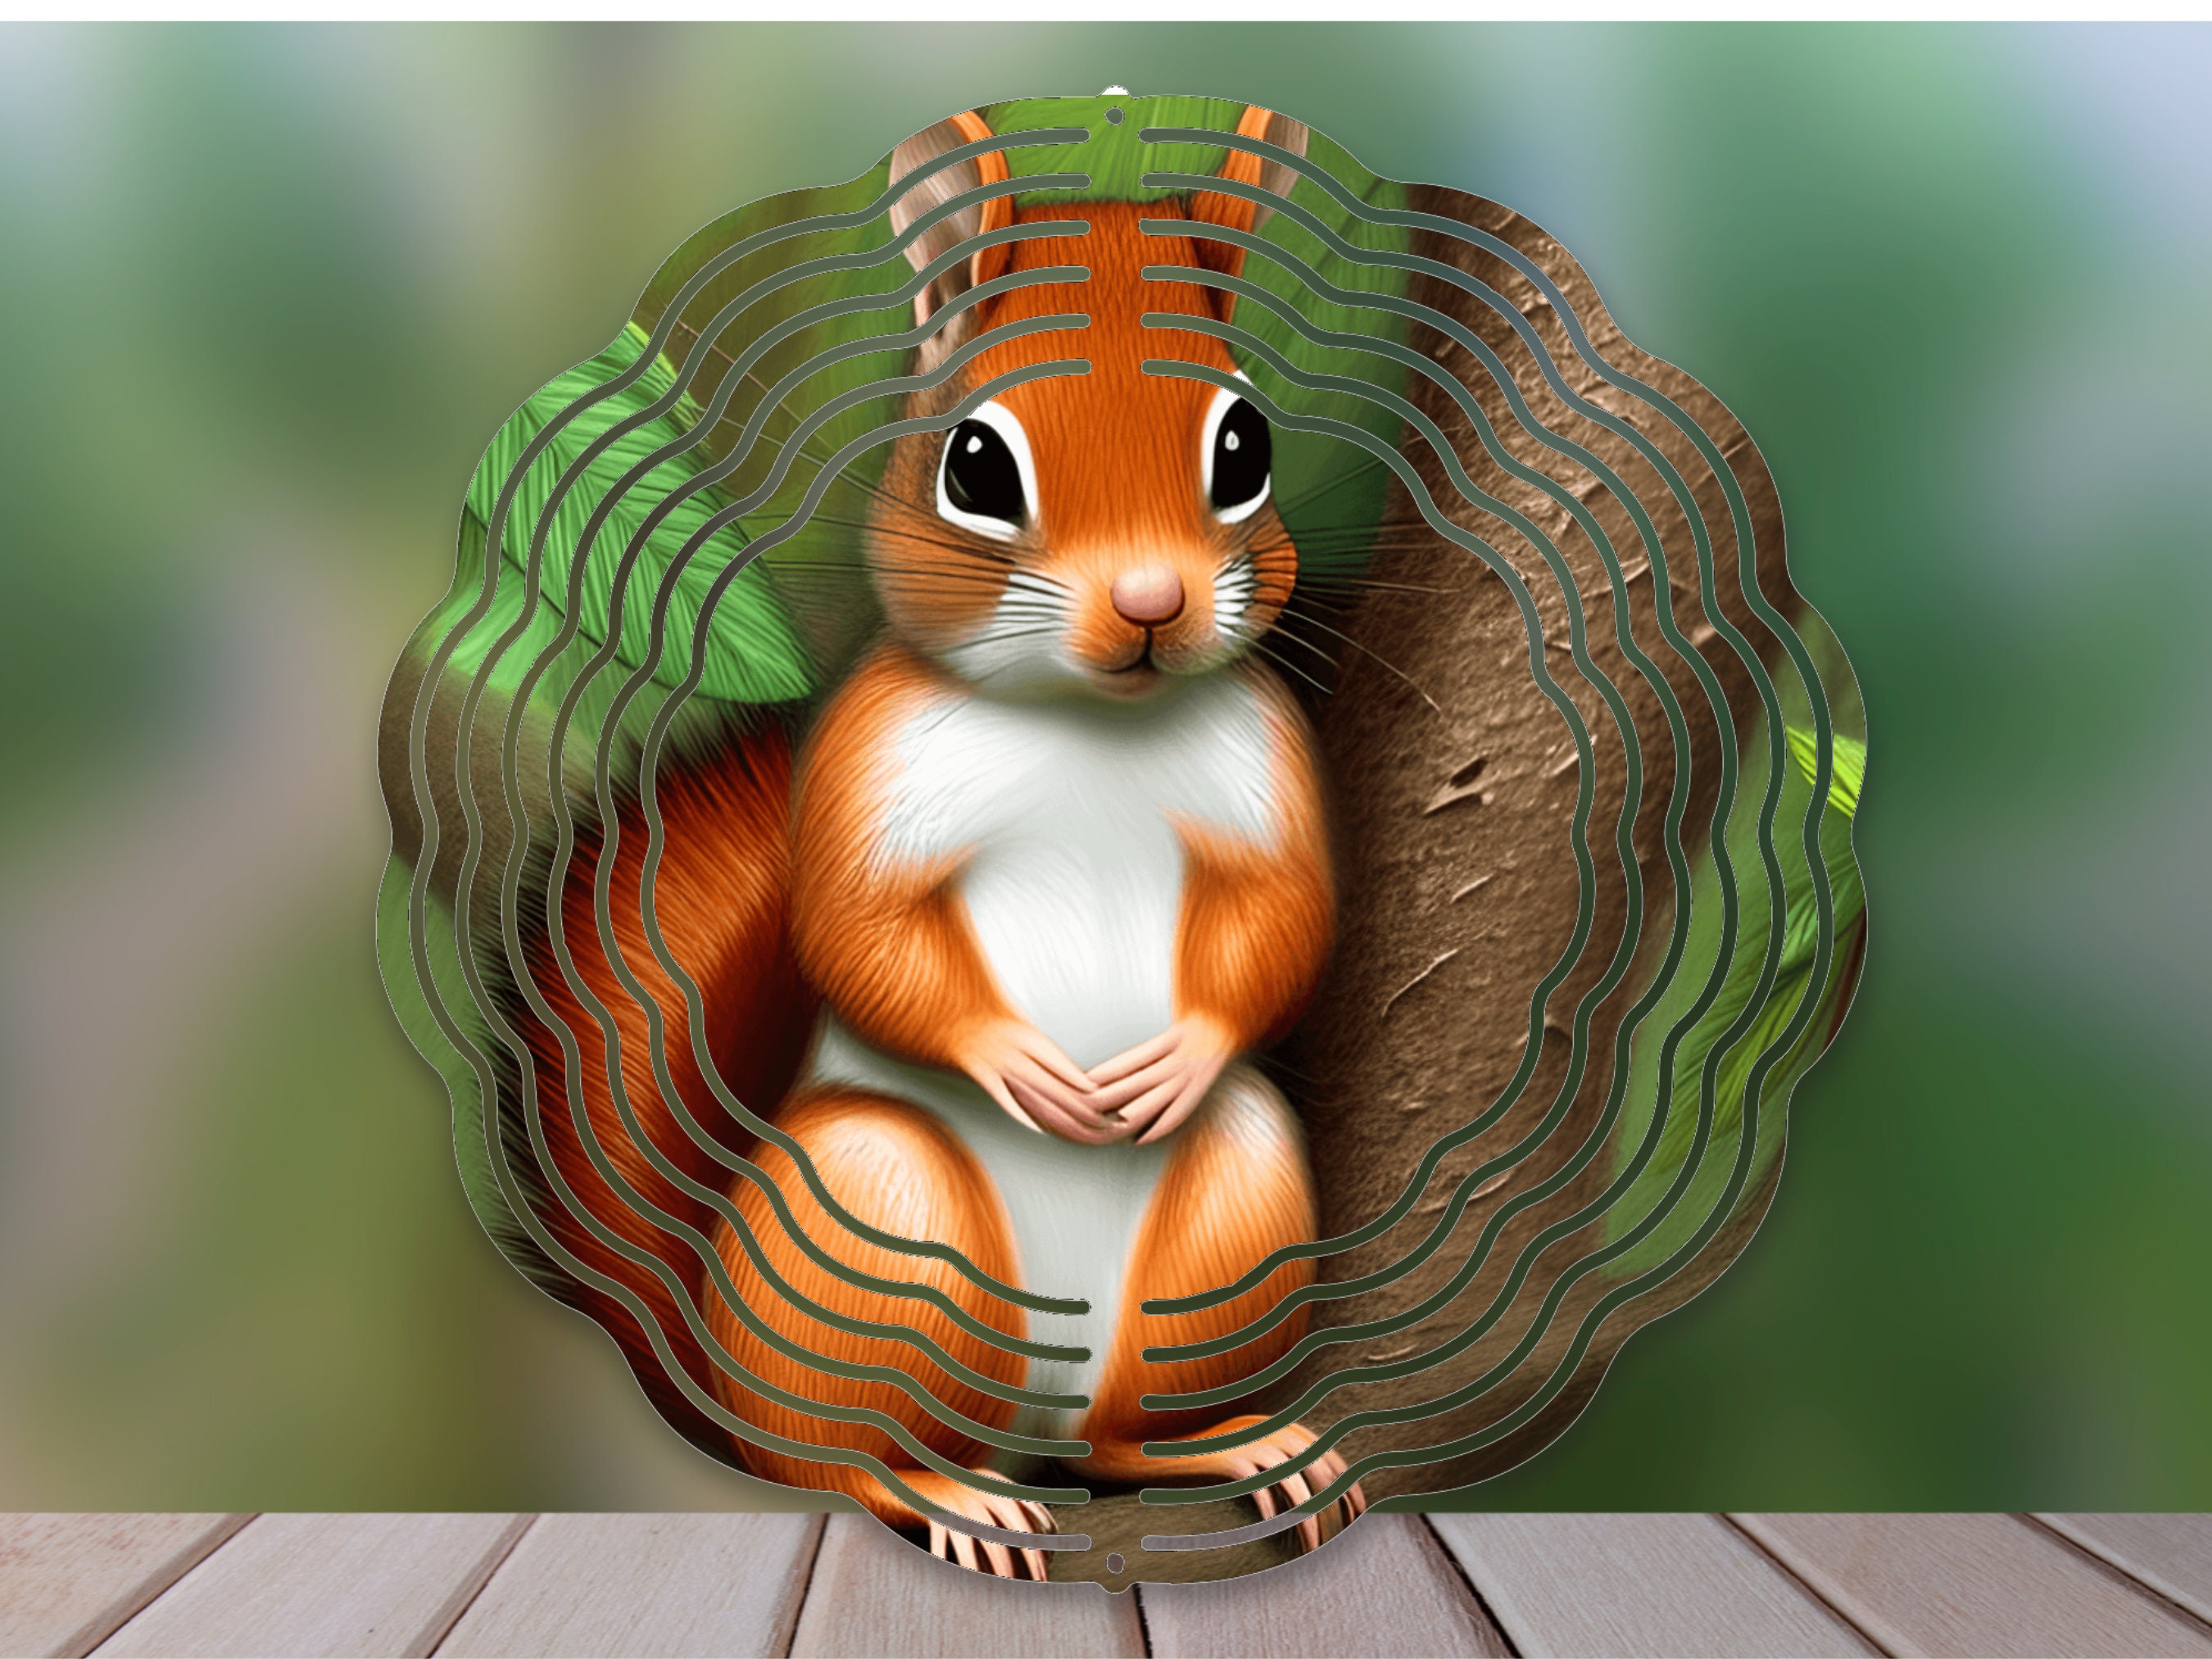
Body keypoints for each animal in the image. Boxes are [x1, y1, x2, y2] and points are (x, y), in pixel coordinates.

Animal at [512, 104, 1366, 1580]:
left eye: (1244, 444)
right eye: (976, 463)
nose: (1150, 601)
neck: (1091, 731)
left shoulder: (1265, 773)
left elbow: (1289, 913)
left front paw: (1170, 1061)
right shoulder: (875, 769)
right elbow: (853, 932)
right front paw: (1023, 1064)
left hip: (1227, 1230)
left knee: (1117, 1442)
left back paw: (1235, 1445)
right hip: (881, 1223)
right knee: (835, 1461)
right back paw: (943, 1491)